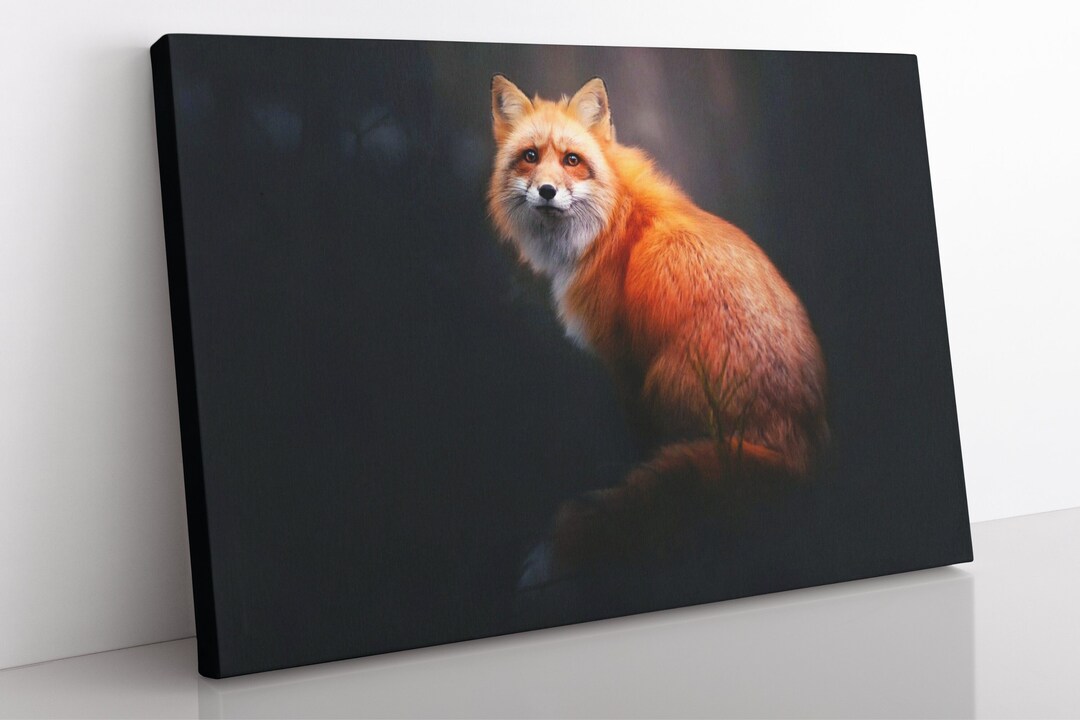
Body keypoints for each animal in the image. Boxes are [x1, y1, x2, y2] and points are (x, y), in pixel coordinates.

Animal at [487, 74, 829, 579]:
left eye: (572, 160)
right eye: (530, 156)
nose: (547, 191)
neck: (614, 220)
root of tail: (797, 446)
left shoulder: (625, 360)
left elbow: (639, 440)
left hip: (664, 380)